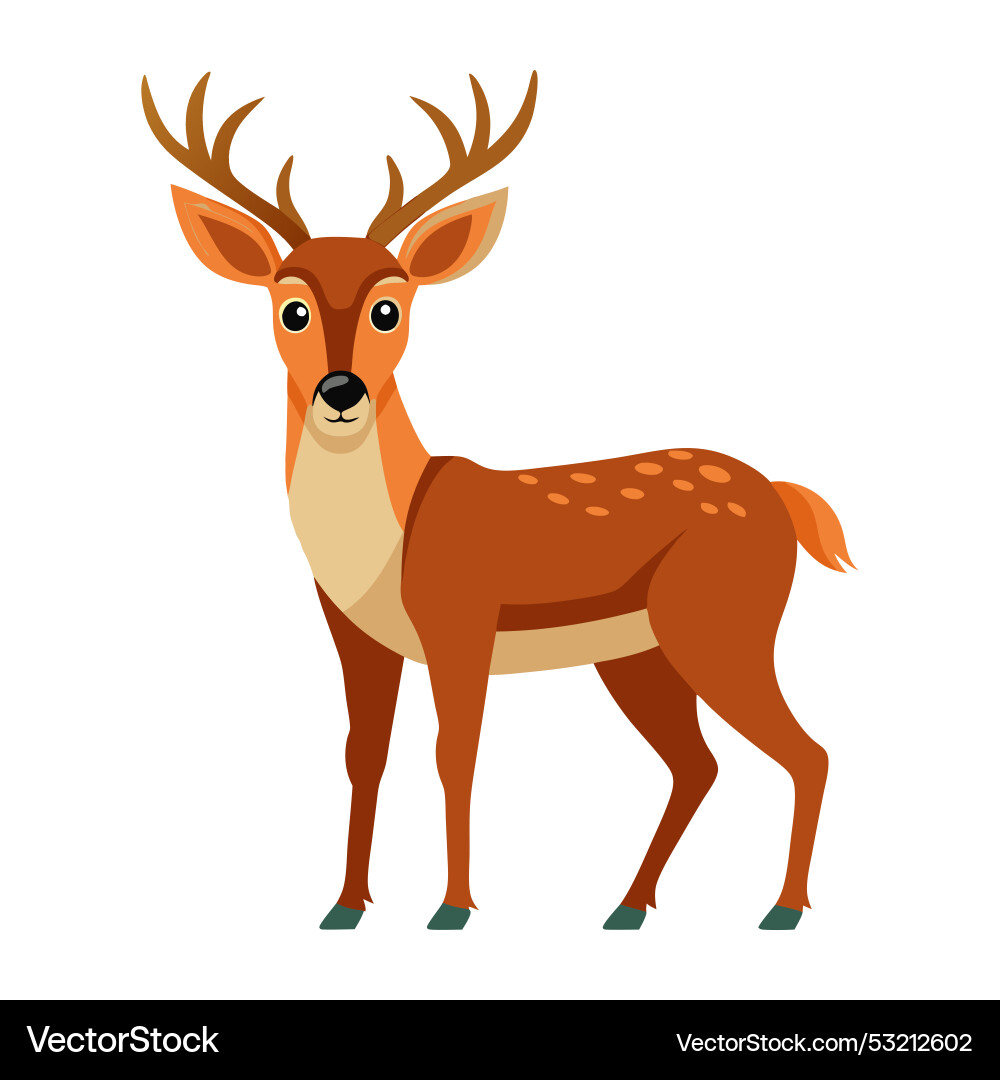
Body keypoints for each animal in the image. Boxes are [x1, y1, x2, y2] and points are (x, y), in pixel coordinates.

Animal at [141, 70, 854, 933]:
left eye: (390, 306)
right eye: (292, 308)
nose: (340, 392)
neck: (385, 545)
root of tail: (784, 498)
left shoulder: (462, 619)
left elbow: (456, 754)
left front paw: (452, 908)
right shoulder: (356, 635)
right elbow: (364, 754)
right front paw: (345, 906)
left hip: (722, 623)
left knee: (806, 751)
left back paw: (780, 909)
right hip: (639, 652)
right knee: (700, 763)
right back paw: (628, 906)